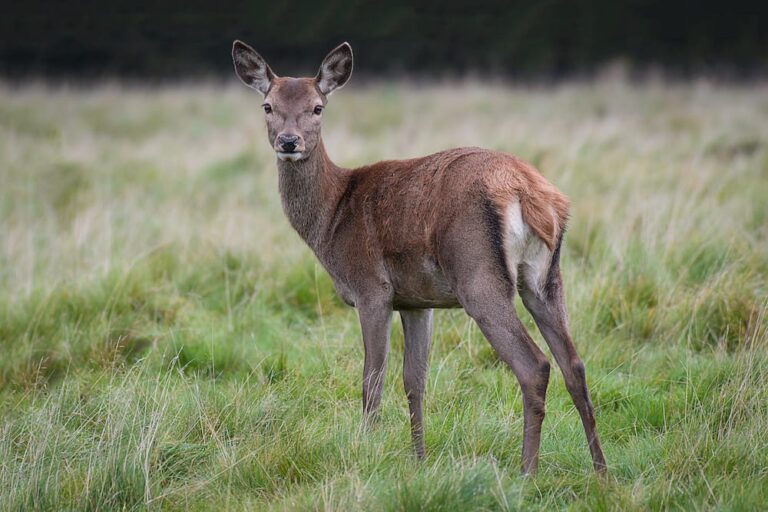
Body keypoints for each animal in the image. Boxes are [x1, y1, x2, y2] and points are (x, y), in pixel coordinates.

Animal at [232, 40, 607, 475]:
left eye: (318, 107)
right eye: (268, 106)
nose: (289, 142)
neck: (333, 217)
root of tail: (529, 192)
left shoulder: (372, 289)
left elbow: (372, 379)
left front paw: (366, 450)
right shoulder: (416, 300)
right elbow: (415, 380)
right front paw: (419, 459)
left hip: (478, 274)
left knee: (535, 365)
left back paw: (527, 471)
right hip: (545, 277)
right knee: (574, 364)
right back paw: (601, 471)